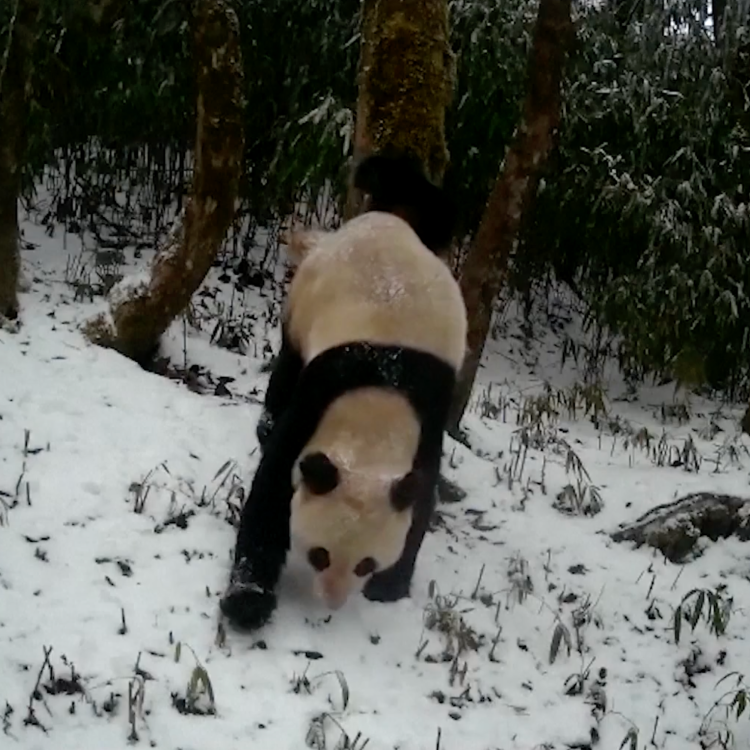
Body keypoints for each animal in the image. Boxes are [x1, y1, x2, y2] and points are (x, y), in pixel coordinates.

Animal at [220, 152, 467, 631]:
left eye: (366, 563)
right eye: (320, 555)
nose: (332, 602)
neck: (379, 402)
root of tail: (387, 218)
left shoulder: (429, 405)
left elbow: (421, 496)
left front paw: (390, 586)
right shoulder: (323, 389)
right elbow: (272, 488)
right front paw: (248, 601)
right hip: (303, 302)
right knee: (287, 361)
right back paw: (266, 423)